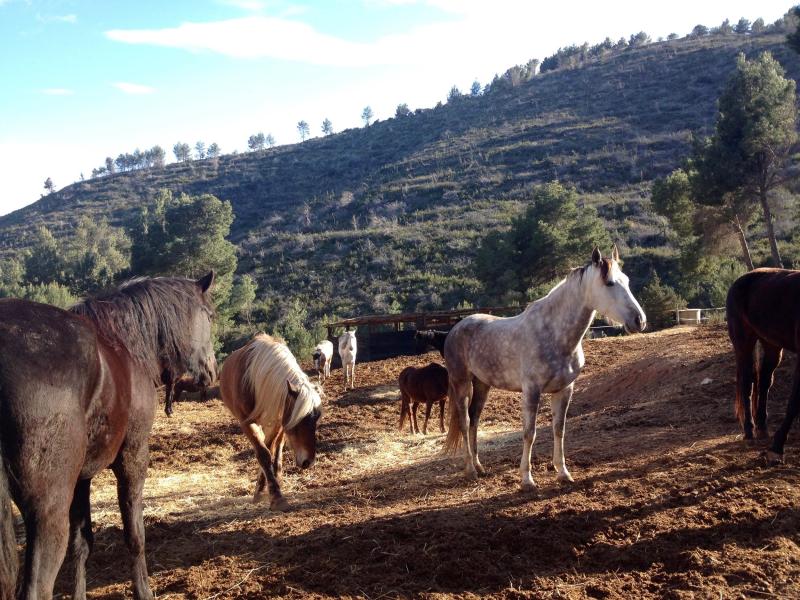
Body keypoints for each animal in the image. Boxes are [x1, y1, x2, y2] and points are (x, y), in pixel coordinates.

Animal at [0, 273, 216, 600]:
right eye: (209, 315)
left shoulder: (81, 479)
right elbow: (135, 533)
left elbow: (81, 544)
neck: (125, 345)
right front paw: (144, 591)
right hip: (47, 509)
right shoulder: (133, 456)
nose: (212, 371)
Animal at [219, 333, 322, 511]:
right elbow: (263, 453)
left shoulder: (278, 422)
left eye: (316, 419)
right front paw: (275, 497)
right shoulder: (247, 423)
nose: (308, 462)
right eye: (299, 420)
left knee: (277, 448)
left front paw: (267, 488)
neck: (255, 380)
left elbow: (270, 450)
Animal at [443, 247, 646, 490]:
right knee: (464, 422)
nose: (639, 320)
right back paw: (471, 470)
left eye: (627, 280)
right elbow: (529, 433)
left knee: (474, 419)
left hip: (482, 384)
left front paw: (563, 473)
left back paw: (480, 466)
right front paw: (527, 480)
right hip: (461, 383)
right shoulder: (532, 391)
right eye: (609, 283)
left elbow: (559, 429)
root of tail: (456, 328)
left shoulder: (564, 390)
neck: (554, 334)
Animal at [726, 268, 800, 464]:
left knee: (764, 381)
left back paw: (761, 427)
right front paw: (777, 448)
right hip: (744, 342)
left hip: (771, 344)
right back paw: (749, 430)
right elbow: (794, 402)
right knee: (747, 382)